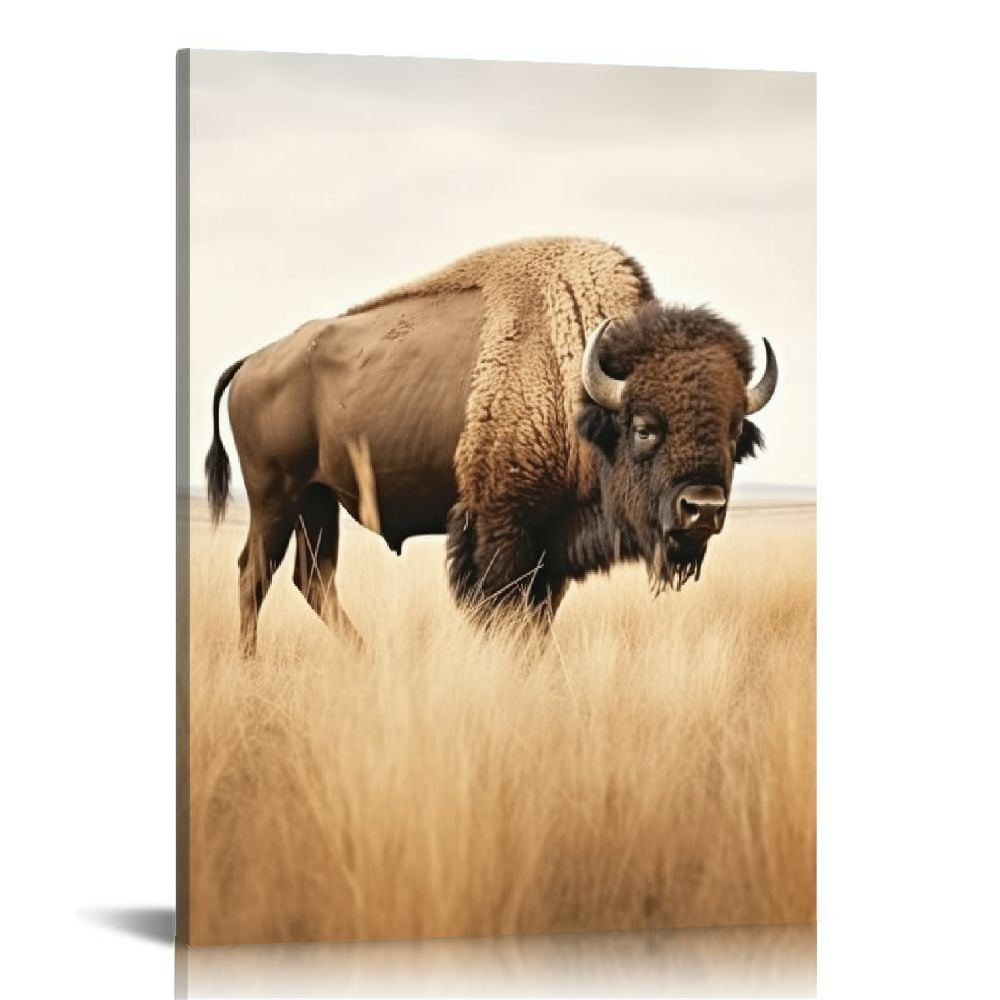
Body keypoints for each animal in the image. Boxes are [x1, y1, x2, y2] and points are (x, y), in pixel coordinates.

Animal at [204, 237, 777, 654]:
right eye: (644, 427)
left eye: (734, 431)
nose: (702, 508)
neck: (575, 384)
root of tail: (253, 361)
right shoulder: (502, 526)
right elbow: (506, 613)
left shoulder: (550, 544)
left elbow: (538, 619)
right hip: (275, 497)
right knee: (254, 574)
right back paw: (251, 666)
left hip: (318, 502)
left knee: (313, 579)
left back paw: (363, 659)